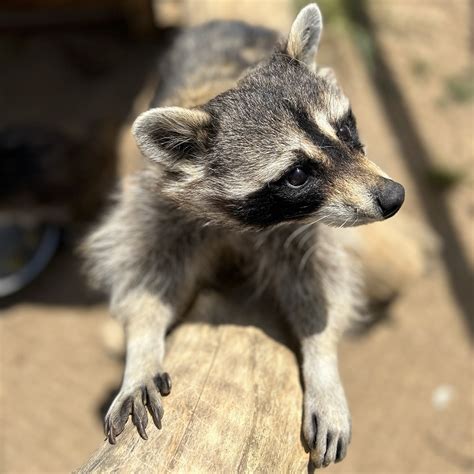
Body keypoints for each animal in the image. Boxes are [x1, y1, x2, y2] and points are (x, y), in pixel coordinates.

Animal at [81, 3, 404, 468]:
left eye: (344, 130)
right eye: (297, 174)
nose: (394, 197)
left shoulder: (304, 233)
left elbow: (320, 291)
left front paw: (322, 362)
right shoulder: (162, 205)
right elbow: (146, 279)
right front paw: (141, 350)